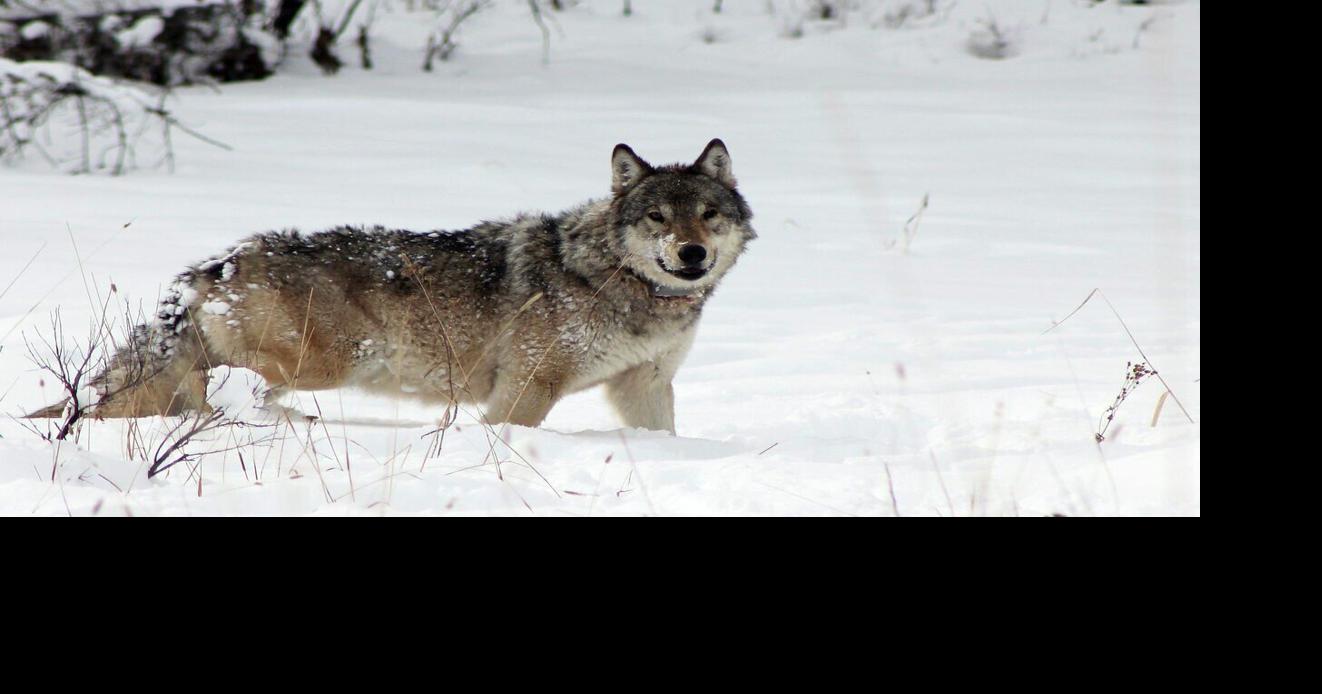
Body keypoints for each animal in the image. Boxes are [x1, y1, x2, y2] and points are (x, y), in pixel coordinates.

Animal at [29, 139, 755, 433]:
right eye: (657, 218)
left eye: (707, 215)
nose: (691, 252)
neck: (618, 281)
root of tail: (221, 262)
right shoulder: (528, 387)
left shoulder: (645, 386)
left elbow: (667, 437)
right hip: (326, 362)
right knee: (235, 395)